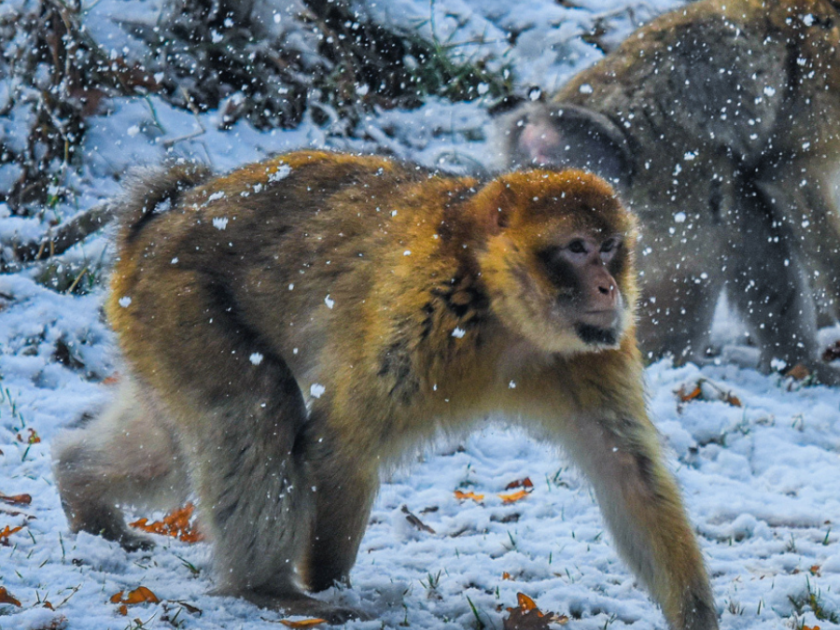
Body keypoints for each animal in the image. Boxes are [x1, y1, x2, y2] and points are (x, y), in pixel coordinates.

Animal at [52, 150, 717, 629]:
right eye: (576, 249)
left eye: (610, 248)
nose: (610, 288)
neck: (498, 308)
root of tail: (164, 213)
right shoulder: (417, 314)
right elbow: (337, 445)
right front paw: (328, 582)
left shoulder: (591, 354)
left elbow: (627, 471)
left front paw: (696, 616)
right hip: (179, 301)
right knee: (254, 408)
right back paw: (266, 589)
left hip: (153, 328)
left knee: (170, 443)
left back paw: (80, 488)